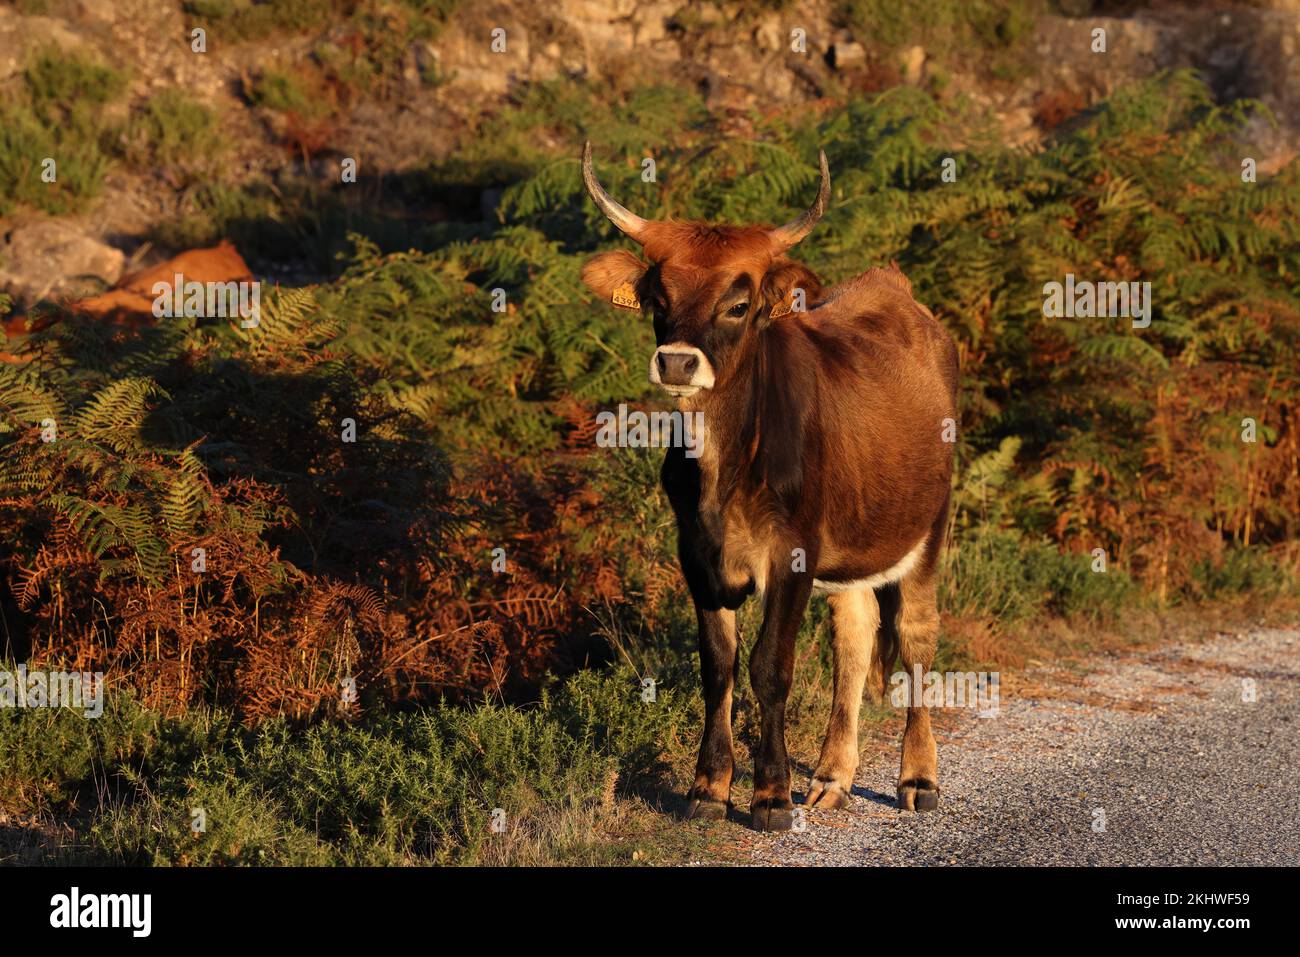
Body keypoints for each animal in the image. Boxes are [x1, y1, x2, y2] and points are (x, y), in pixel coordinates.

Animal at [580, 142, 959, 830]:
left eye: (738, 304)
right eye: (657, 299)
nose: (677, 362)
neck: (725, 470)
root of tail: (893, 289)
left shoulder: (792, 554)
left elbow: (770, 666)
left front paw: (771, 795)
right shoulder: (696, 553)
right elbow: (719, 665)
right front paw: (708, 788)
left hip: (927, 529)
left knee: (917, 633)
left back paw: (918, 778)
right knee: (854, 634)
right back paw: (833, 778)